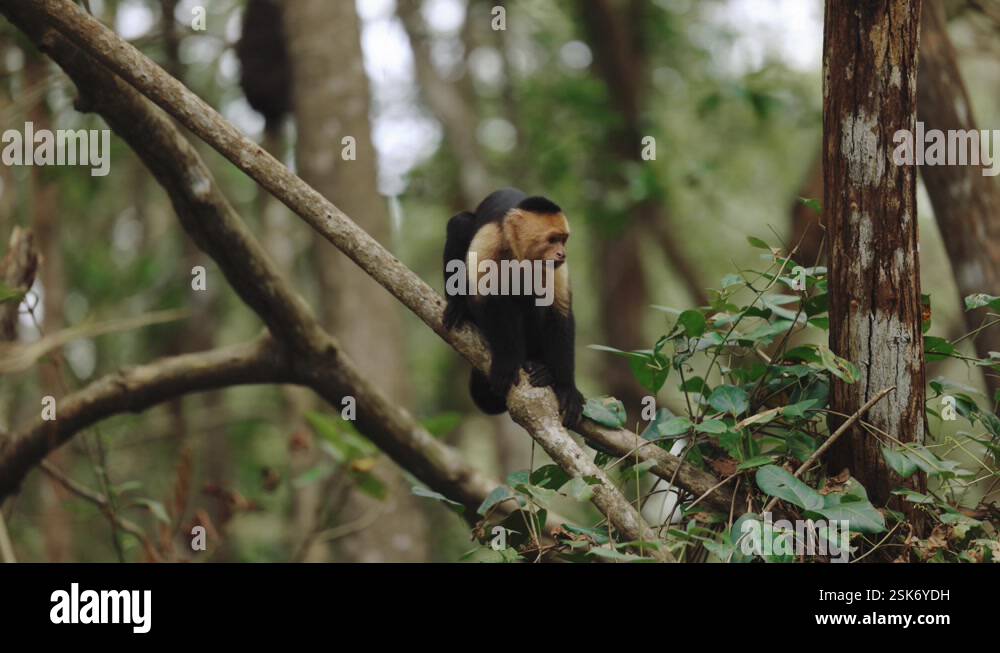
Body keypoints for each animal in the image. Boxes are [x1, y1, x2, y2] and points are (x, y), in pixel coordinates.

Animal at [443, 188, 584, 428]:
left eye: (563, 240)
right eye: (552, 240)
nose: (562, 254)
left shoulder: (555, 268)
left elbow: (560, 311)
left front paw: (565, 386)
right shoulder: (489, 240)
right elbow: (487, 299)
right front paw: (508, 363)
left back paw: (540, 366)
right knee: (460, 223)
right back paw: (460, 307)